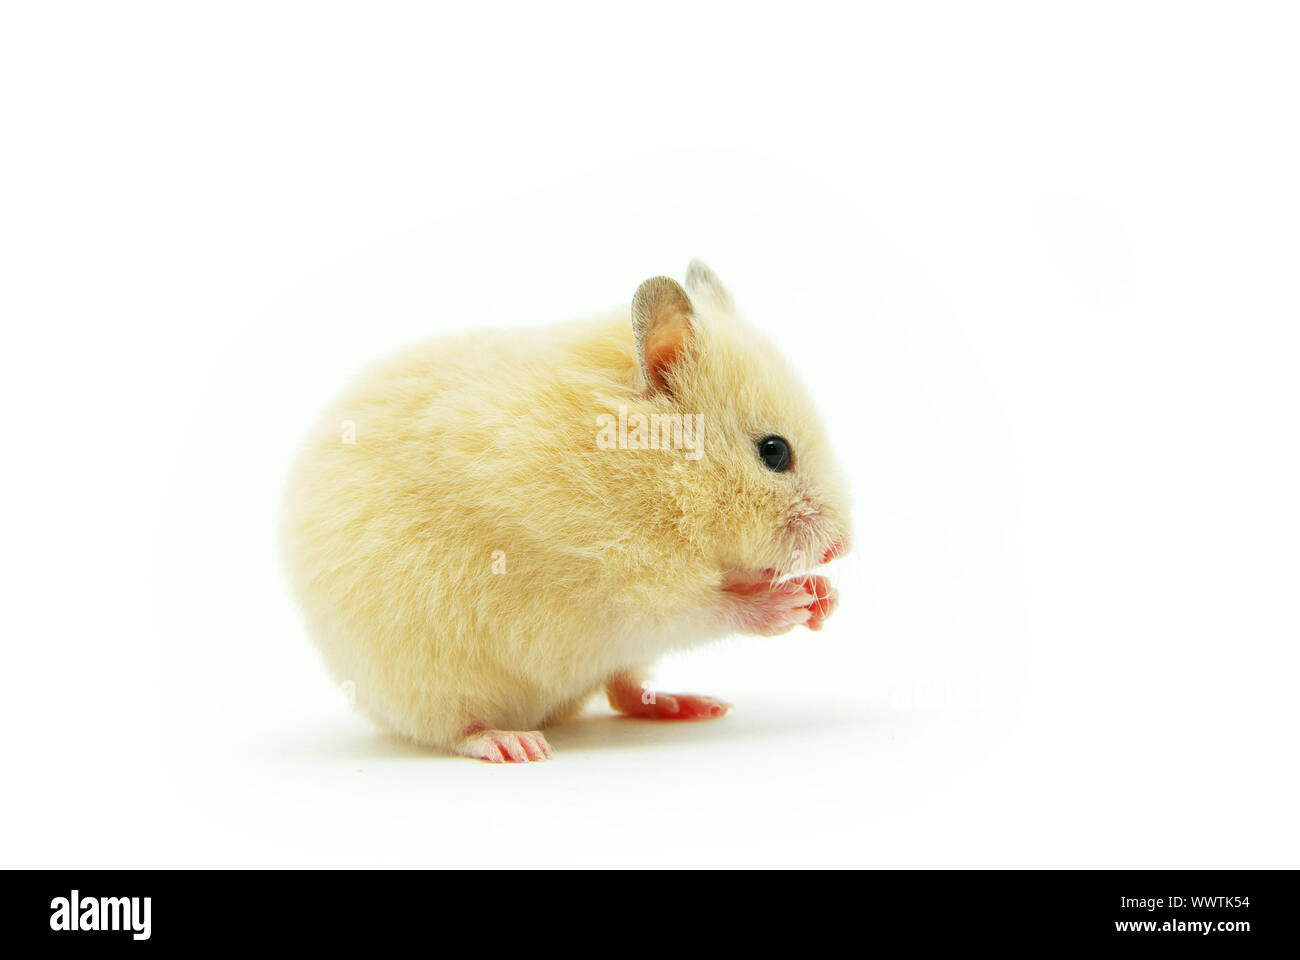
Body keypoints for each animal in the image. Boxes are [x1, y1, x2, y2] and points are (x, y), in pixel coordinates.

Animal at [282, 261, 851, 762]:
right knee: (457, 728)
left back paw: (694, 705)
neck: (652, 474)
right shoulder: (623, 590)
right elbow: (708, 609)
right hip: (428, 682)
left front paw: (825, 598)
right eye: (774, 451)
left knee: (623, 689)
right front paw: (792, 603)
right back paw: (516, 746)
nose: (843, 547)